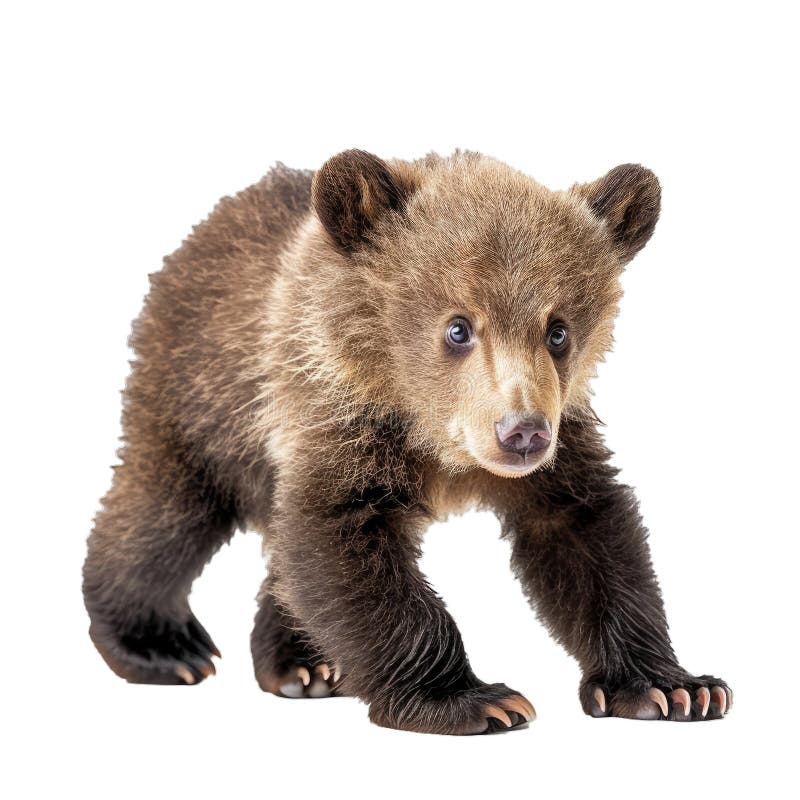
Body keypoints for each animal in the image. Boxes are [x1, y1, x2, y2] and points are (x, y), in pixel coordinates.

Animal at [83, 149, 732, 734]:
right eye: (458, 327)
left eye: (558, 330)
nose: (521, 431)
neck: (432, 437)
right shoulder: (338, 421)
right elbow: (340, 546)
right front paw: (474, 700)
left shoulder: (560, 452)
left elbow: (591, 537)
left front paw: (671, 687)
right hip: (201, 399)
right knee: (164, 513)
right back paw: (163, 645)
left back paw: (303, 665)